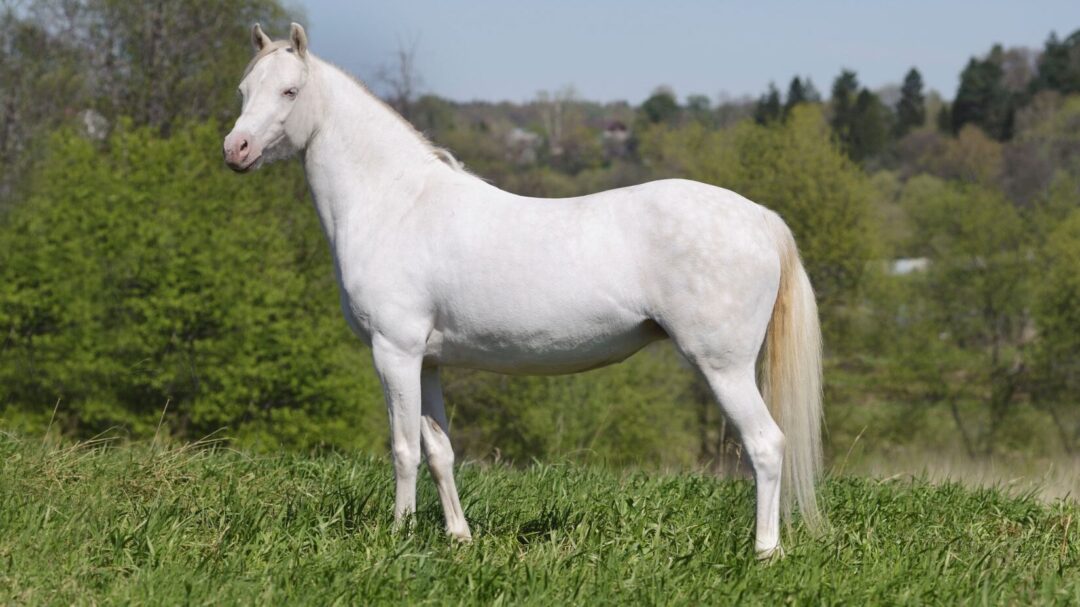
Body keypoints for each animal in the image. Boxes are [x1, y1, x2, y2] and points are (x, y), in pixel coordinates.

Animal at [224, 23, 823, 558]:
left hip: (723, 366)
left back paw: (764, 551)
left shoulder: (394, 352)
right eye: (244, 89)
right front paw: (458, 537)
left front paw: (396, 537)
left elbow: (403, 450)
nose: (236, 149)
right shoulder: (427, 361)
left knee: (767, 445)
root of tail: (759, 217)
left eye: (290, 91)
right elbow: (439, 450)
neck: (396, 203)